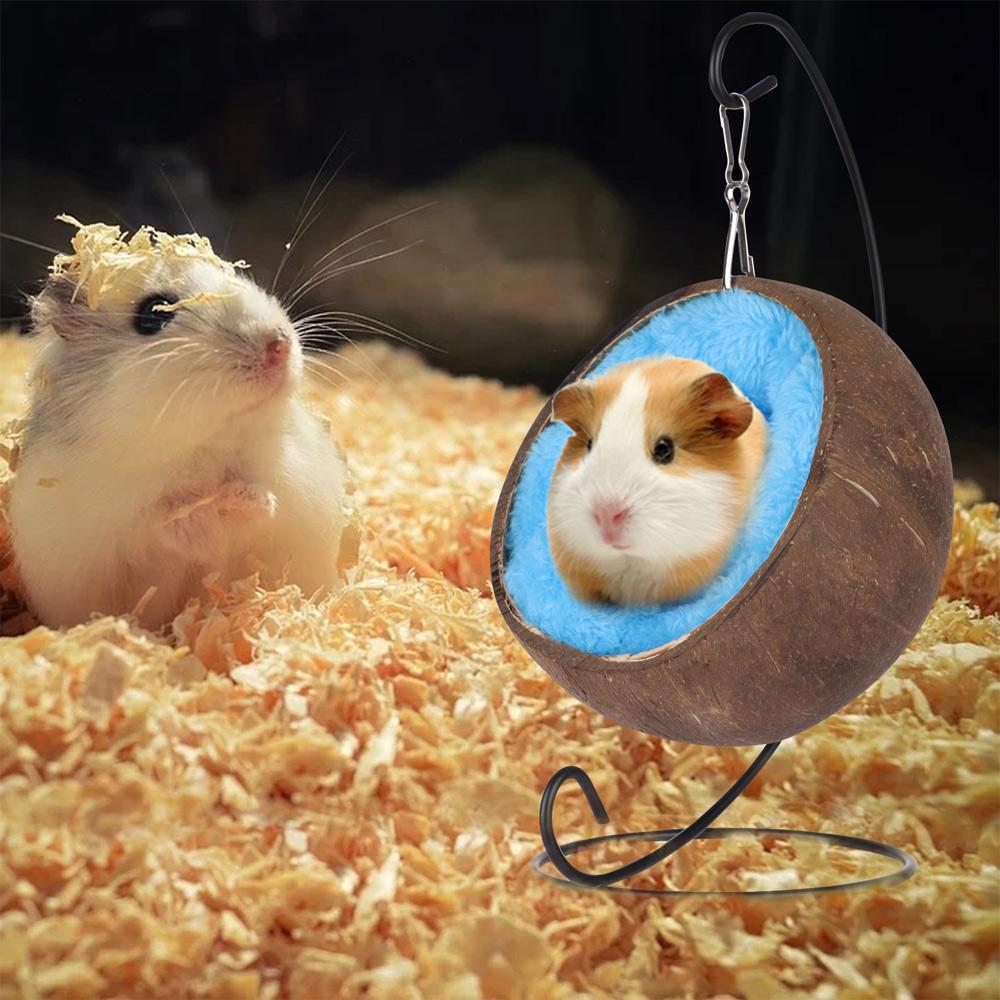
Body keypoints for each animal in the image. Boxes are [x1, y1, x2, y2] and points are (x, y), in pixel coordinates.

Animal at [8, 221, 349, 629]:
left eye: (238, 276)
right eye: (153, 313)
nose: (279, 345)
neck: (200, 445)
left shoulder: (292, 485)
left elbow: (264, 503)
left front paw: (244, 500)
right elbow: (162, 525)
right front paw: (204, 513)